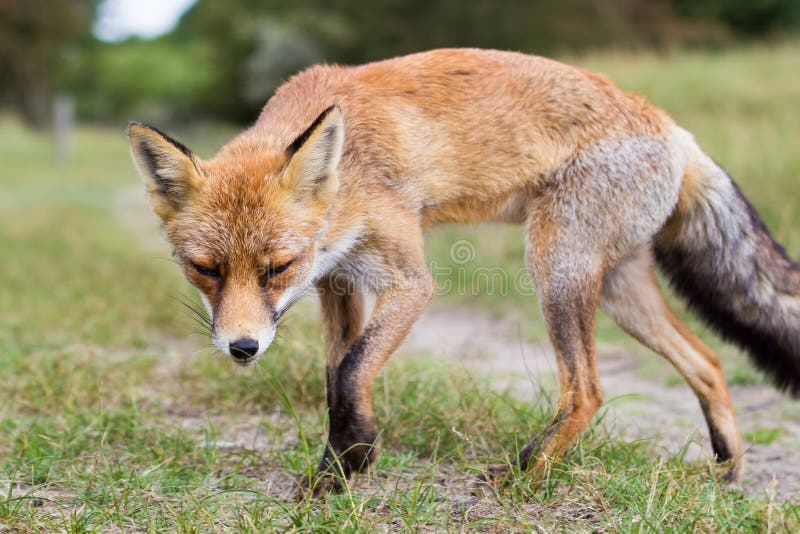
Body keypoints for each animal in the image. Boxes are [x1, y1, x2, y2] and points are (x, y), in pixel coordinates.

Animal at [128, 48, 800, 495]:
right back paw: (729, 466)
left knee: (587, 389)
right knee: (707, 362)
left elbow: (351, 370)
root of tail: (673, 128)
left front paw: (356, 457)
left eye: (278, 267)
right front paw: (336, 472)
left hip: (556, 267)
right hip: (616, 287)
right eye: (204, 269)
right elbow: (336, 379)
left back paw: (523, 476)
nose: (242, 348)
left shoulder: (407, 280)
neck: (349, 173)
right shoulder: (338, 282)